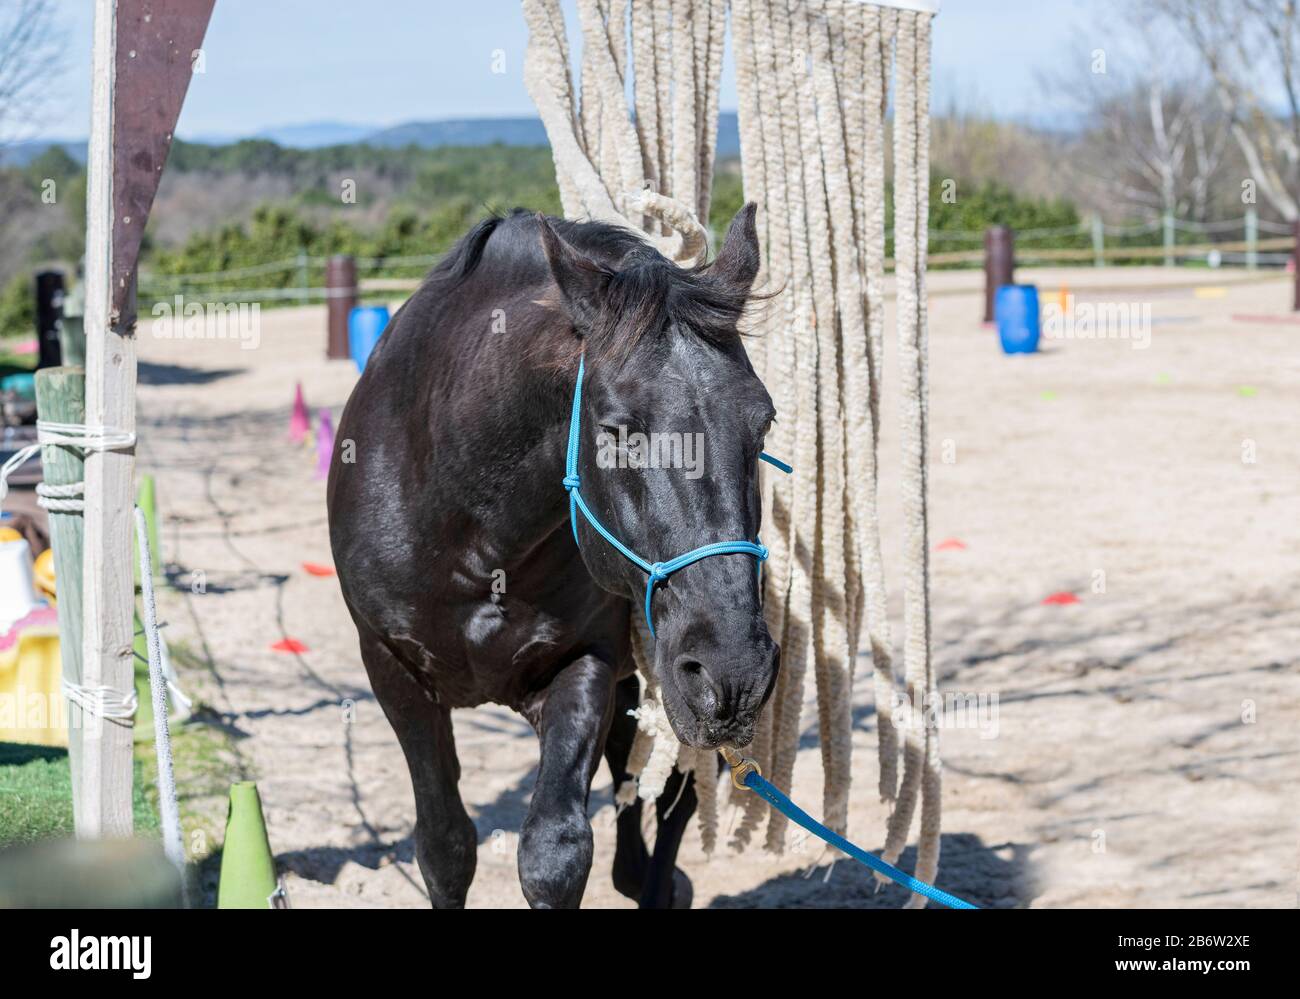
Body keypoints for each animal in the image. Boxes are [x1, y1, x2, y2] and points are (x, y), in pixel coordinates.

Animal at [327, 203, 781, 908]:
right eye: (619, 430)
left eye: (763, 424)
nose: (733, 674)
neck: (475, 542)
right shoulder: (392, 668)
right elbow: (445, 847)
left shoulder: (585, 660)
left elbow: (554, 852)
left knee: (672, 800)